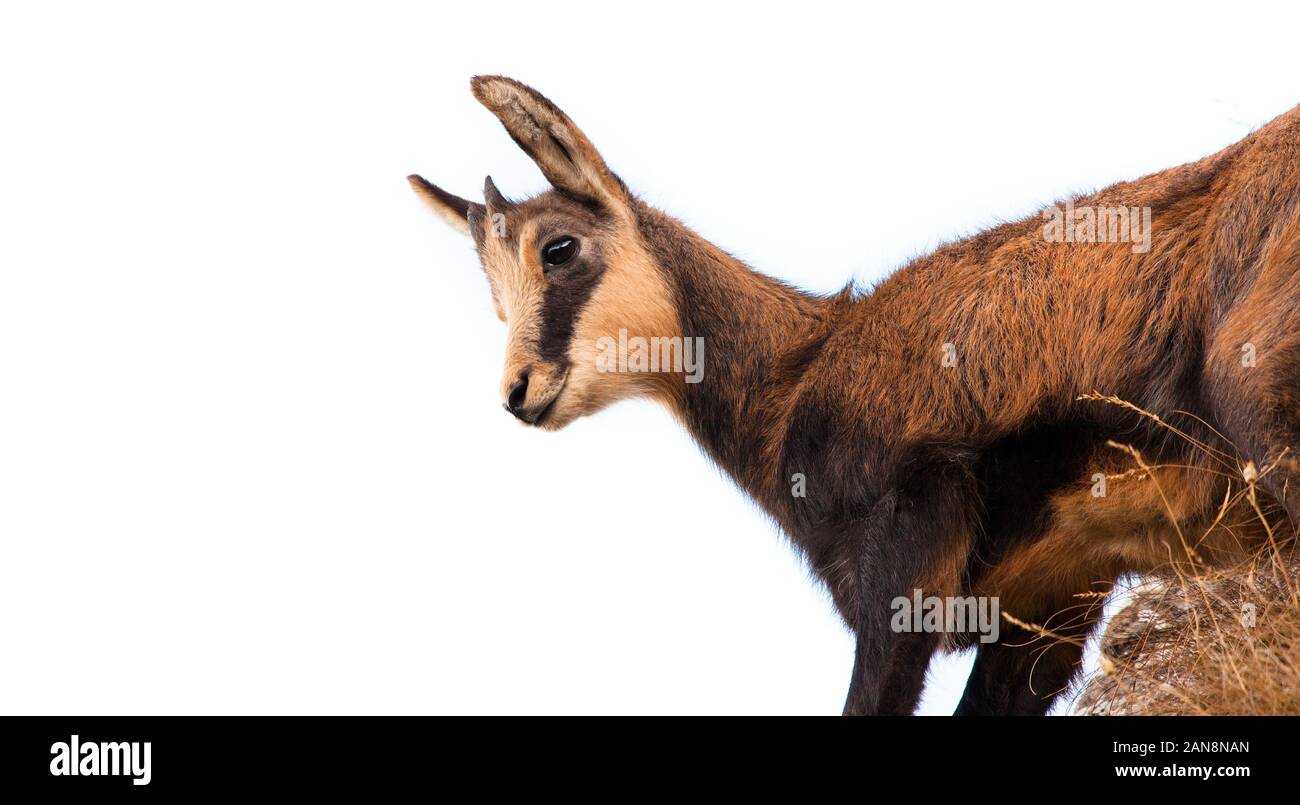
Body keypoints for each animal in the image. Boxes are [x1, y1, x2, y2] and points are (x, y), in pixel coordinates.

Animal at [410, 76, 1300, 714]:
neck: (796, 375)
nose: (519, 392)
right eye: (494, 298)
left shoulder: (904, 556)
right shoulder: (1048, 603)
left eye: (559, 248)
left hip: (1257, 402)